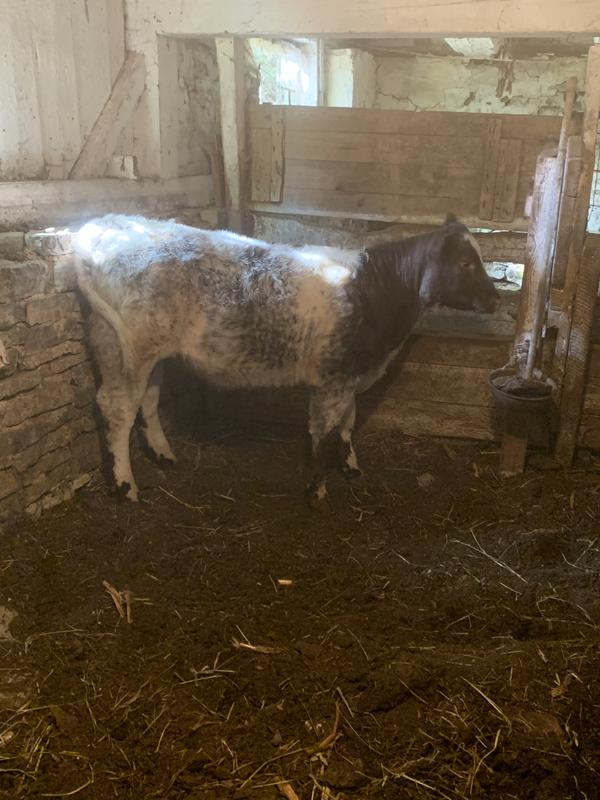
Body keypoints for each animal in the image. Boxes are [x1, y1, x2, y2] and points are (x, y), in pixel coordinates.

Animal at [73, 213, 498, 506]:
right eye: (465, 263)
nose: (495, 298)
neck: (374, 291)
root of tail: (106, 227)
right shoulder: (332, 379)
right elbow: (324, 433)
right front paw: (317, 491)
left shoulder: (350, 374)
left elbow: (348, 423)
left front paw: (351, 468)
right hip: (125, 348)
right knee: (117, 408)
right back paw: (126, 486)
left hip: (146, 350)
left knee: (148, 398)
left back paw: (163, 454)